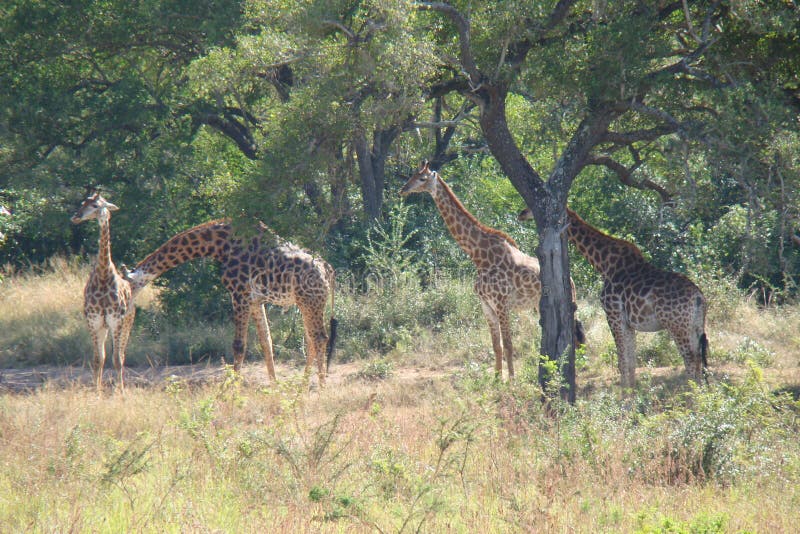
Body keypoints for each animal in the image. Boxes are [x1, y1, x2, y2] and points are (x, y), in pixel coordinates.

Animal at [71, 189, 135, 392]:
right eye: (82, 203)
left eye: (95, 205)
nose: (75, 217)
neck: (103, 275)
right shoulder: (93, 322)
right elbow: (98, 359)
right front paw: (96, 391)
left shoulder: (116, 321)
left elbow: (116, 360)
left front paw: (120, 392)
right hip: (104, 327)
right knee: (106, 355)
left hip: (127, 324)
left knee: (121, 355)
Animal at [121, 219, 337, 385]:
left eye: (128, 288)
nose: (124, 309)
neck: (219, 245)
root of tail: (328, 269)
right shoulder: (255, 300)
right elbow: (266, 341)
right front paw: (274, 386)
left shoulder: (239, 294)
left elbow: (239, 345)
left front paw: (230, 391)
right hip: (307, 303)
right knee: (311, 338)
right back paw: (303, 386)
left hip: (311, 301)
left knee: (319, 338)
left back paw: (321, 387)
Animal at [400, 161, 584, 380]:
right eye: (412, 175)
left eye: (422, 178)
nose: (403, 189)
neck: (479, 257)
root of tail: (571, 281)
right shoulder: (486, 305)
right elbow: (496, 346)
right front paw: (496, 380)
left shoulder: (501, 303)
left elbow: (508, 345)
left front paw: (511, 380)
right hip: (539, 306)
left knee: (574, 336)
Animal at [519, 207, 708, 388]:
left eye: (529, 207)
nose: (521, 213)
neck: (604, 264)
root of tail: (699, 297)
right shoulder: (628, 322)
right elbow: (631, 362)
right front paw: (632, 394)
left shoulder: (614, 316)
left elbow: (622, 362)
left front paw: (624, 398)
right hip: (694, 326)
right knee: (699, 358)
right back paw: (700, 395)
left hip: (677, 326)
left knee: (690, 360)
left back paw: (690, 397)